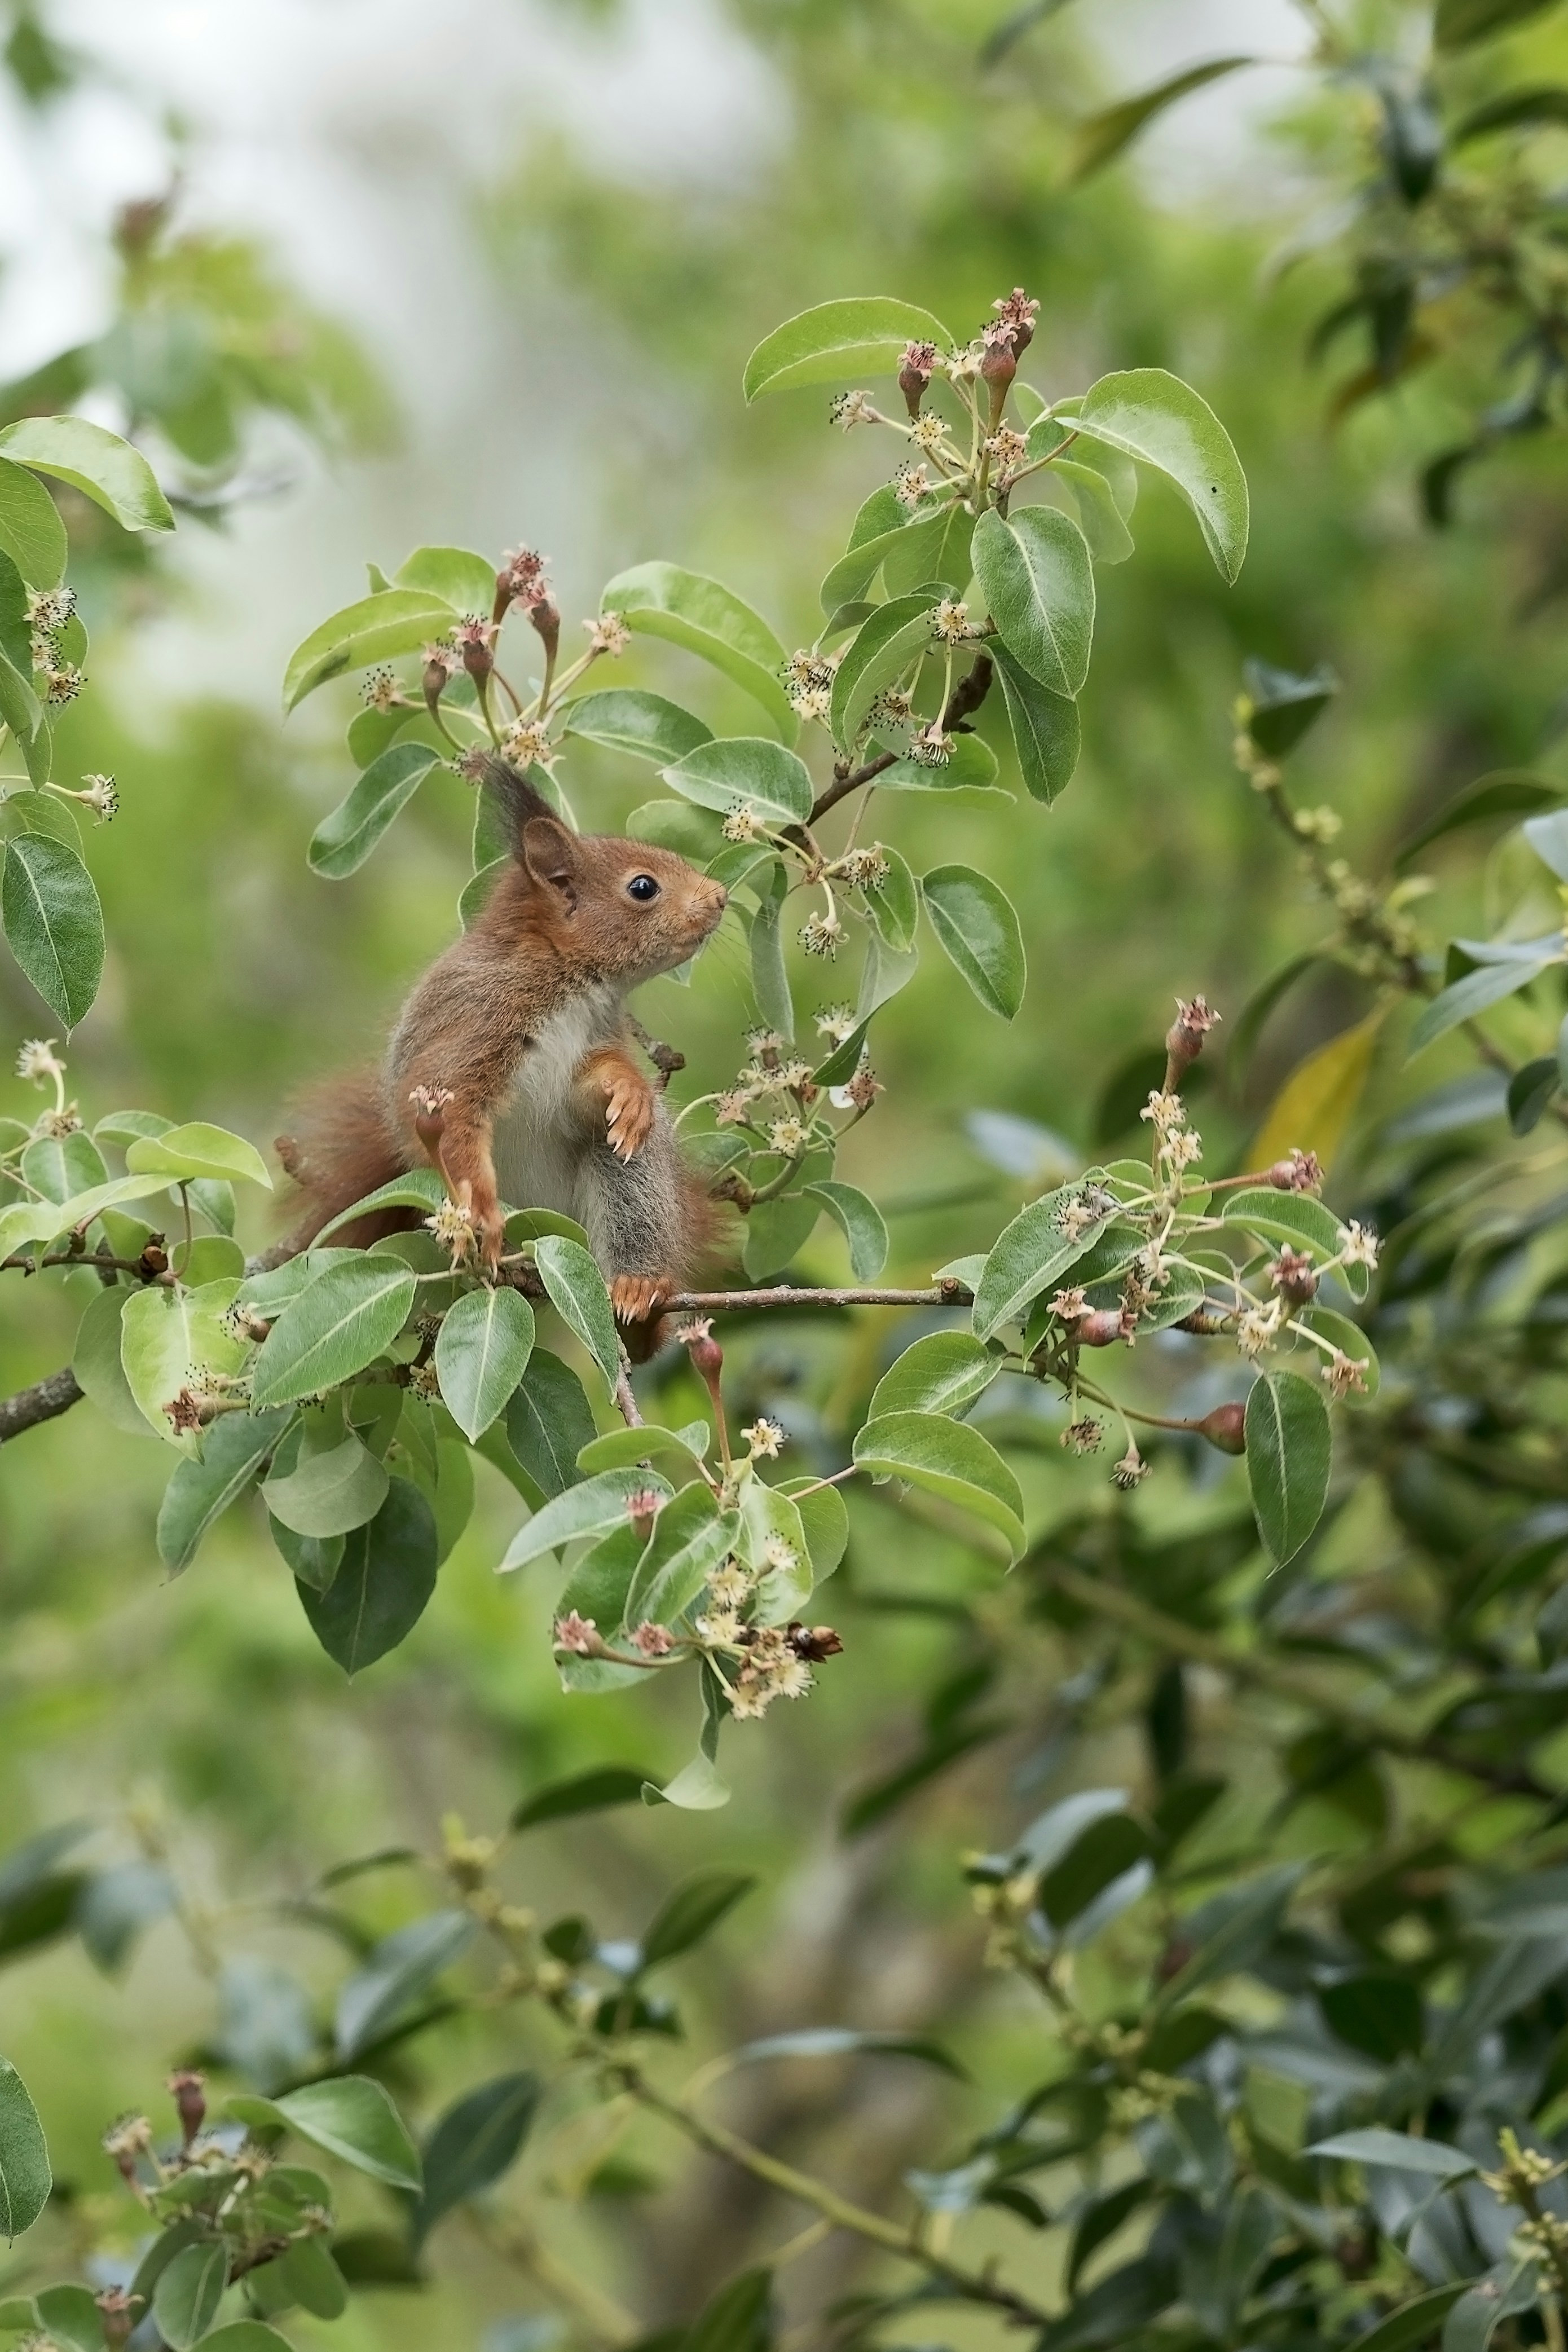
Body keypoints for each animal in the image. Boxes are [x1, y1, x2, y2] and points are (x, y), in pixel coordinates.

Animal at [276, 757, 729, 1323]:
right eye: (643, 887)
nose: (721, 897)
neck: (572, 986)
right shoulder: (480, 1021)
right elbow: (453, 1114)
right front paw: (484, 1213)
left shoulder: (589, 1043)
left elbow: (589, 1095)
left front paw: (628, 1089)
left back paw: (638, 1286)